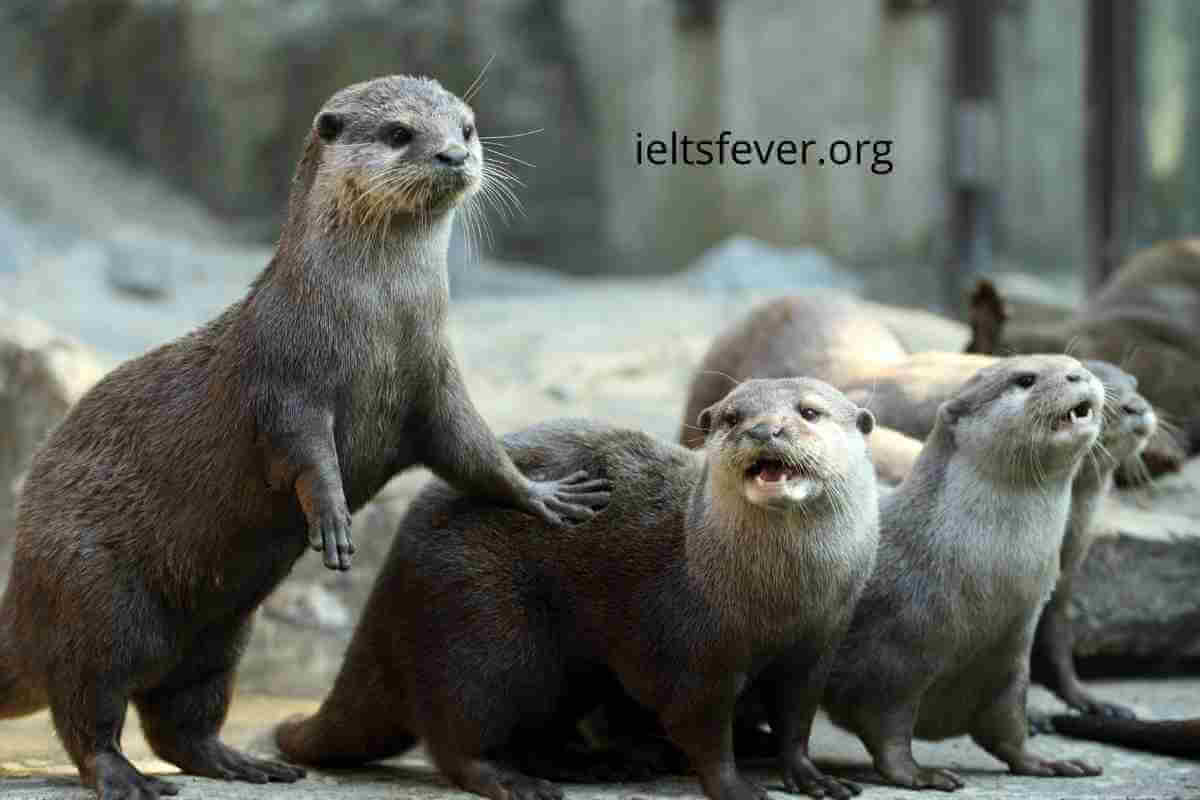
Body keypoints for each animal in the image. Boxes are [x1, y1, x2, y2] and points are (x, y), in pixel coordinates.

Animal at [0, 75, 608, 800]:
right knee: (87, 702)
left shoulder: (432, 382)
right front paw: (333, 516)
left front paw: (544, 495)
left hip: (220, 634)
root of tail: (21, 588)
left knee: (180, 719)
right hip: (93, 592)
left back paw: (243, 762)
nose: (453, 156)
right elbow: (307, 455)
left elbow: (474, 452)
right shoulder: (286, 377)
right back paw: (124, 774)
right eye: (400, 133)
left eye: (466, 127)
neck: (373, 322)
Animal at [276, 378, 880, 800]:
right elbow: (702, 726)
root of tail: (389, 583)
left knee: (536, 732)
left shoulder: (818, 643)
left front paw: (812, 776)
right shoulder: (695, 653)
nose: (764, 430)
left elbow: (797, 720)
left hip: (566, 673)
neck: (777, 603)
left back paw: (596, 764)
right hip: (481, 625)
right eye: (732, 417)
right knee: (455, 731)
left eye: (808, 411)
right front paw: (734, 786)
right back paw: (512, 779)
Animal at [821, 355, 1105, 790]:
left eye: (1074, 364)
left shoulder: (1010, 648)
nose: (1079, 375)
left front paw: (1045, 762)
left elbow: (1007, 724)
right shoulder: (890, 654)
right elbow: (885, 724)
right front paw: (918, 773)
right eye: (1025, 379)